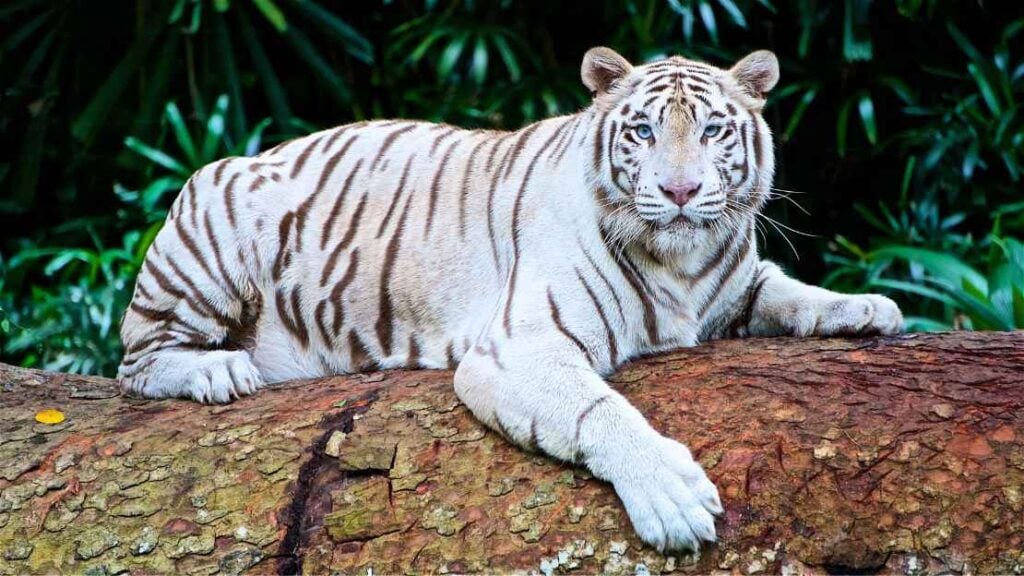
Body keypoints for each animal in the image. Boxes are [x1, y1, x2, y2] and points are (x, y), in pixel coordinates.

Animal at [117, 47, 903, 552]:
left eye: (712, 130)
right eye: (643, 130)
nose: (680, 191)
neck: (682, 263)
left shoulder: (734, 285)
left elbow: (787, 289)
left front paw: (867, 306)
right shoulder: (522, 346)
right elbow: (600, 410)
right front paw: (673, 498)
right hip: (211, 228)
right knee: (137, 362)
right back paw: (218, 370)